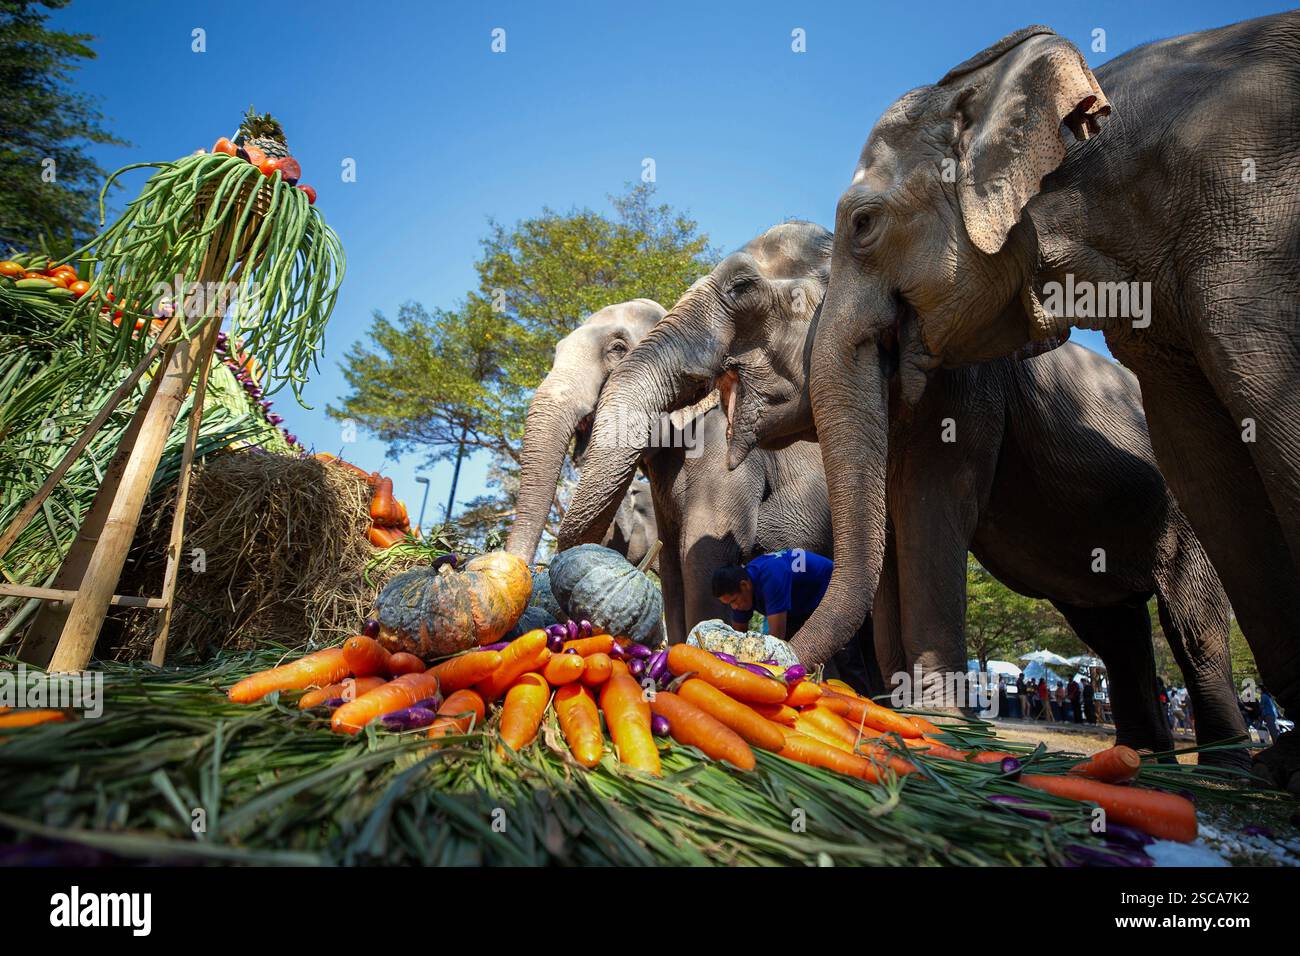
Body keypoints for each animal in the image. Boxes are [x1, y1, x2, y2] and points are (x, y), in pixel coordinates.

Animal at [560, 221, 1247, 763]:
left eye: (743, 288)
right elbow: (886, 540)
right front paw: (897, 711)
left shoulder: (964, 392)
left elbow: (926, 520)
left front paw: (933, 720)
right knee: (1114, 630)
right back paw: (1148, 758)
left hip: (1188, 508)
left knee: (1194, 626)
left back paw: (1224, 766)